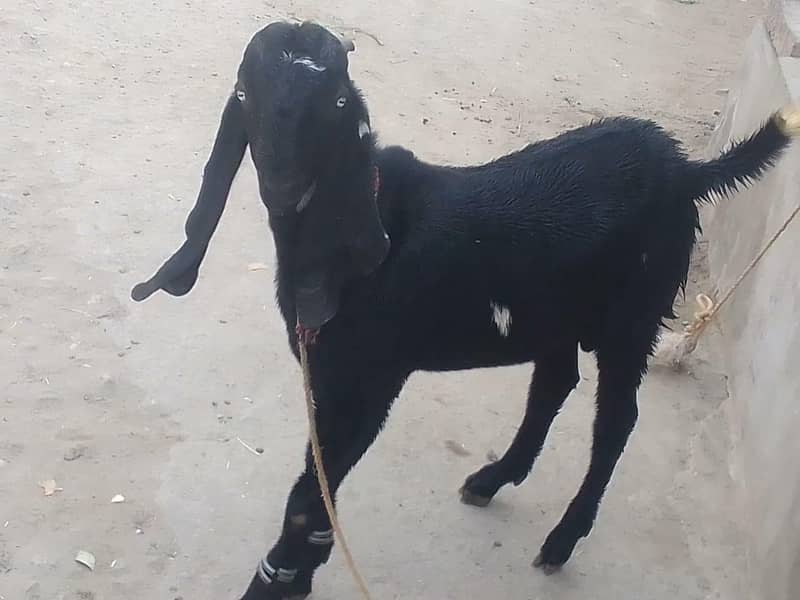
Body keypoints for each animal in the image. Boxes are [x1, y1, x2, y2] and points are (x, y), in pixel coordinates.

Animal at [131, 20, 800, 600]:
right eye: (246, 93)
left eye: (337, 103)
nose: (283, 184)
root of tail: (687, 169)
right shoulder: (330, 377)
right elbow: (315, 486)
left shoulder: (369, 380)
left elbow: (308, 499)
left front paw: (278, 582)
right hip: (553, 311)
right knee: (555, 381)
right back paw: (493, 479)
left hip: (633, 313)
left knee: (615, 420)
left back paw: (561, 540)